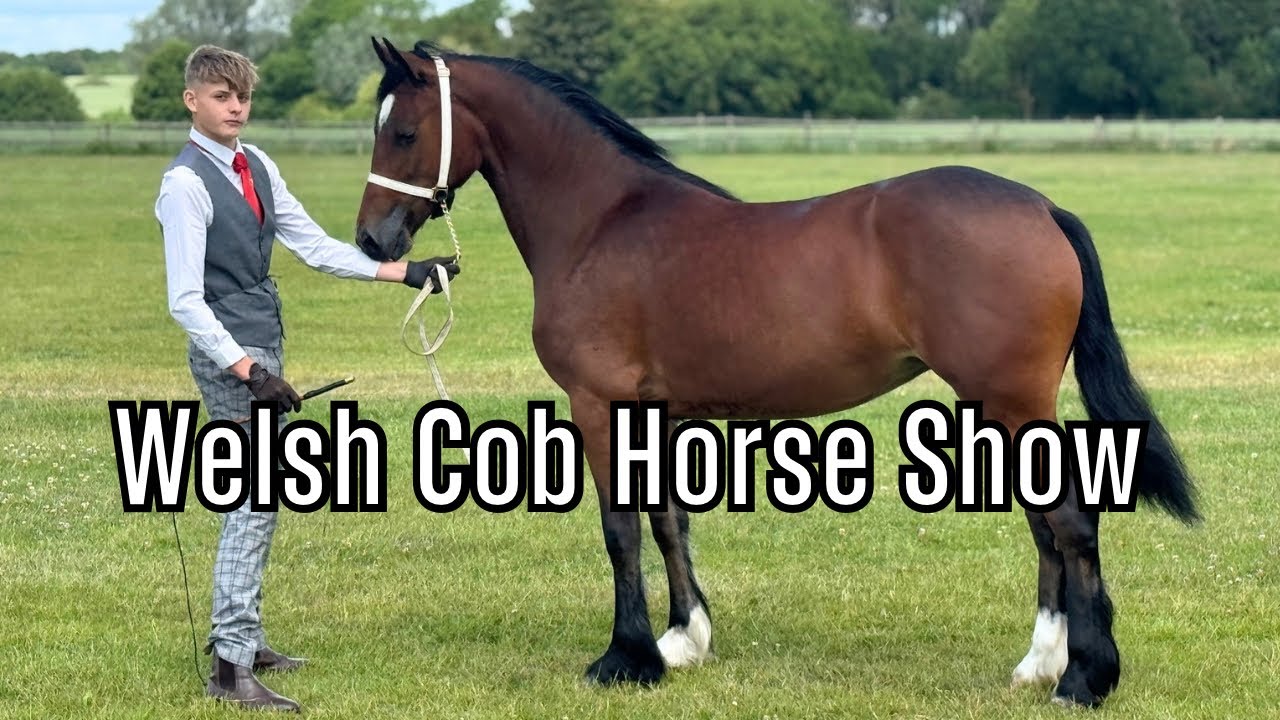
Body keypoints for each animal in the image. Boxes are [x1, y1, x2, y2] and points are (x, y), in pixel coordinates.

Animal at [354, 38, 1198, 707]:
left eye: (403, 132)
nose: (371, 241)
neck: (602, 222)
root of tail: (1042, 208)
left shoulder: (598, 403)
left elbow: (620, 529)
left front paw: (625, 658)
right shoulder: (656, 411)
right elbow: (668, 521)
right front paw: (682, 641)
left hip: (1012, 400)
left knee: (1069, 521)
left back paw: (1083, 679)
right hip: (998, 403)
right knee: (1045, 526)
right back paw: (1042, 661)